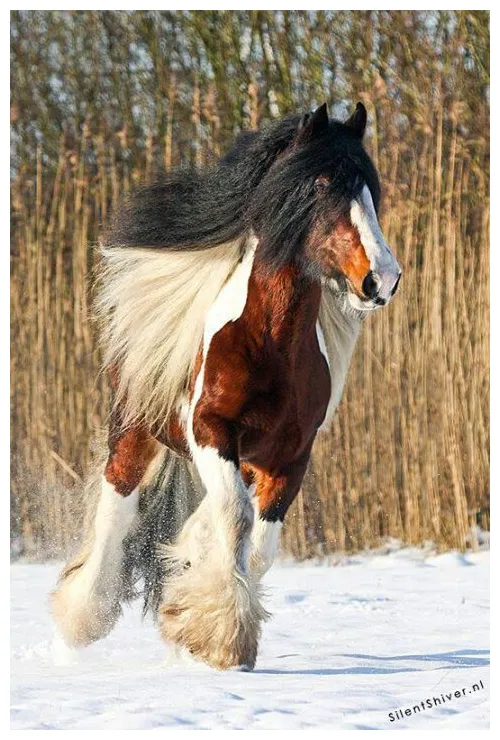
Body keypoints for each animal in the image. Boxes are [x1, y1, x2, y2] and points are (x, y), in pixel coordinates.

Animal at [51, 102, 401, 671]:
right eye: (320, 184)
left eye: (370, 188)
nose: (383, 279)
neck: (271, 343)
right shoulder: (210, 431)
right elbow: (235, 519)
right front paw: (224, 641)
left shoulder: (290, 456)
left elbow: (258, 545)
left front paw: (199, 620)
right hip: (134, 437)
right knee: (116, 515)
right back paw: (85, 618)